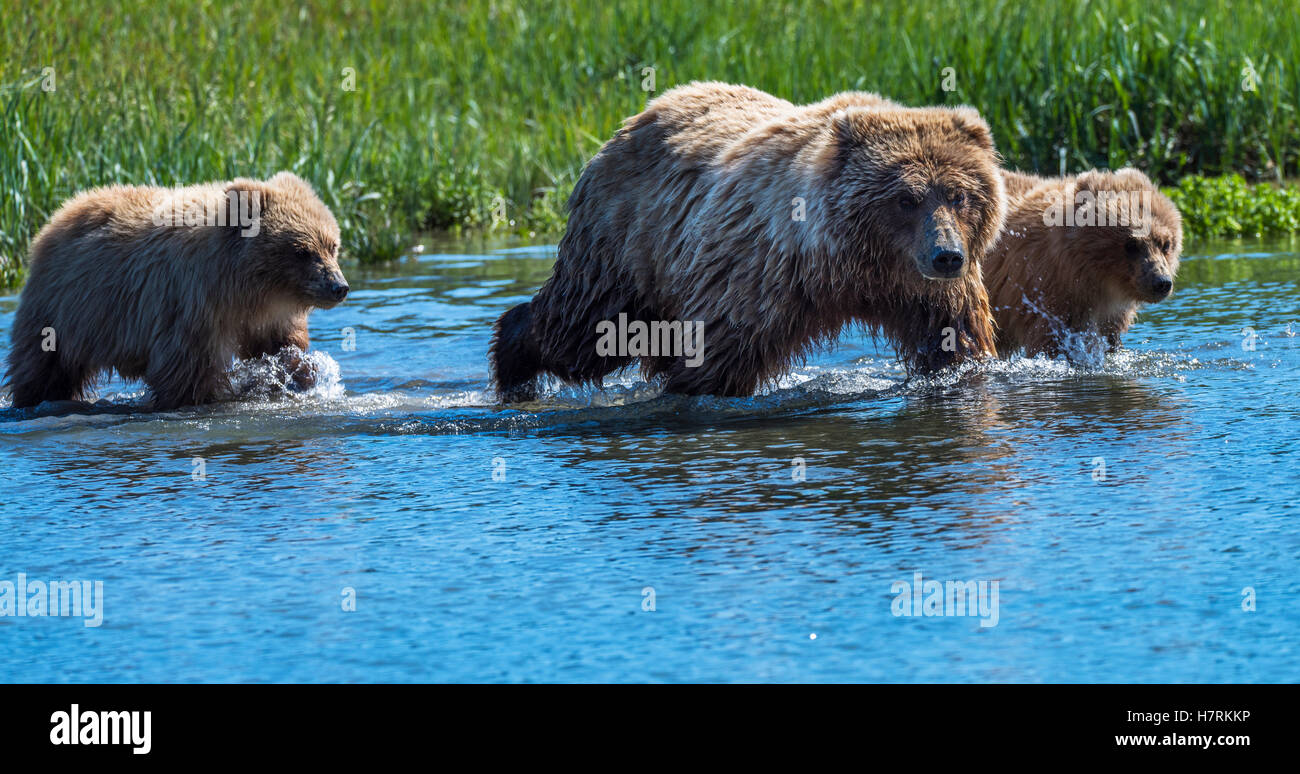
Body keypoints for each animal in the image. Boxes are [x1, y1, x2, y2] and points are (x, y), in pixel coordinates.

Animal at [4, 172, 349, 410]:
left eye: (332, 245)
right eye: (302, 251)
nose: (339, 287)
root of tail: (60, 213)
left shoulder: (265, 315)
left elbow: (281, 347)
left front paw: (303, 374)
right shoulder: (187, 305)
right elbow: (186, 370)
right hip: (62, 309)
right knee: (44, 365)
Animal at [489, 82, 1007, 402]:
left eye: (959, 195)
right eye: (906, 198)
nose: (947, 256)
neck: (853, 268)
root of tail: (642, 113)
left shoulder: (931, 294)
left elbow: (956, 346)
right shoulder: (759, 276)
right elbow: (715, 360)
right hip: (626, 242)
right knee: (585, 330)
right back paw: (515, 369)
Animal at [984, 168, 1183, 357]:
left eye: (1166, 244)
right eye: (1132, 244)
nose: (1161, 282)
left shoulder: (1111, 317)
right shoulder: (1046, 297)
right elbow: (1053, 344)